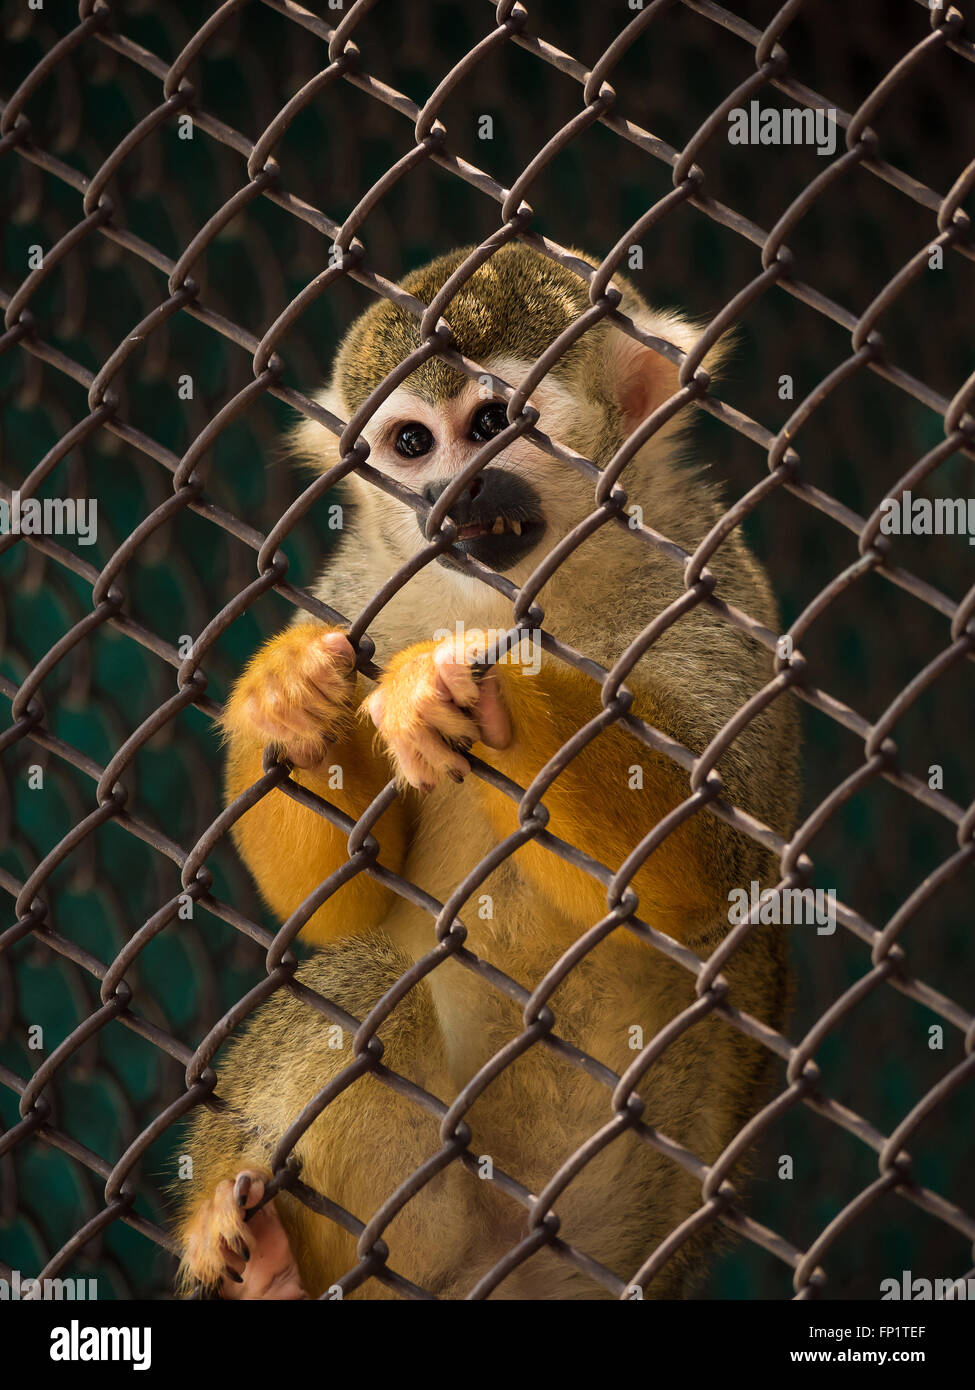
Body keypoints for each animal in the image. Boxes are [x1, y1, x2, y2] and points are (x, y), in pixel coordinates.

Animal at [171, 242, 800, 1301]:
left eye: (494, 424)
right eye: (411, 443)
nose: (453, 495)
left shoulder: (714, 597)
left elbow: (709, 877)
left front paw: (472, 683)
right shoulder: (360, 592)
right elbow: (338, 898)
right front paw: (289, 697)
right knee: (361, 984)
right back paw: (263, 1254)